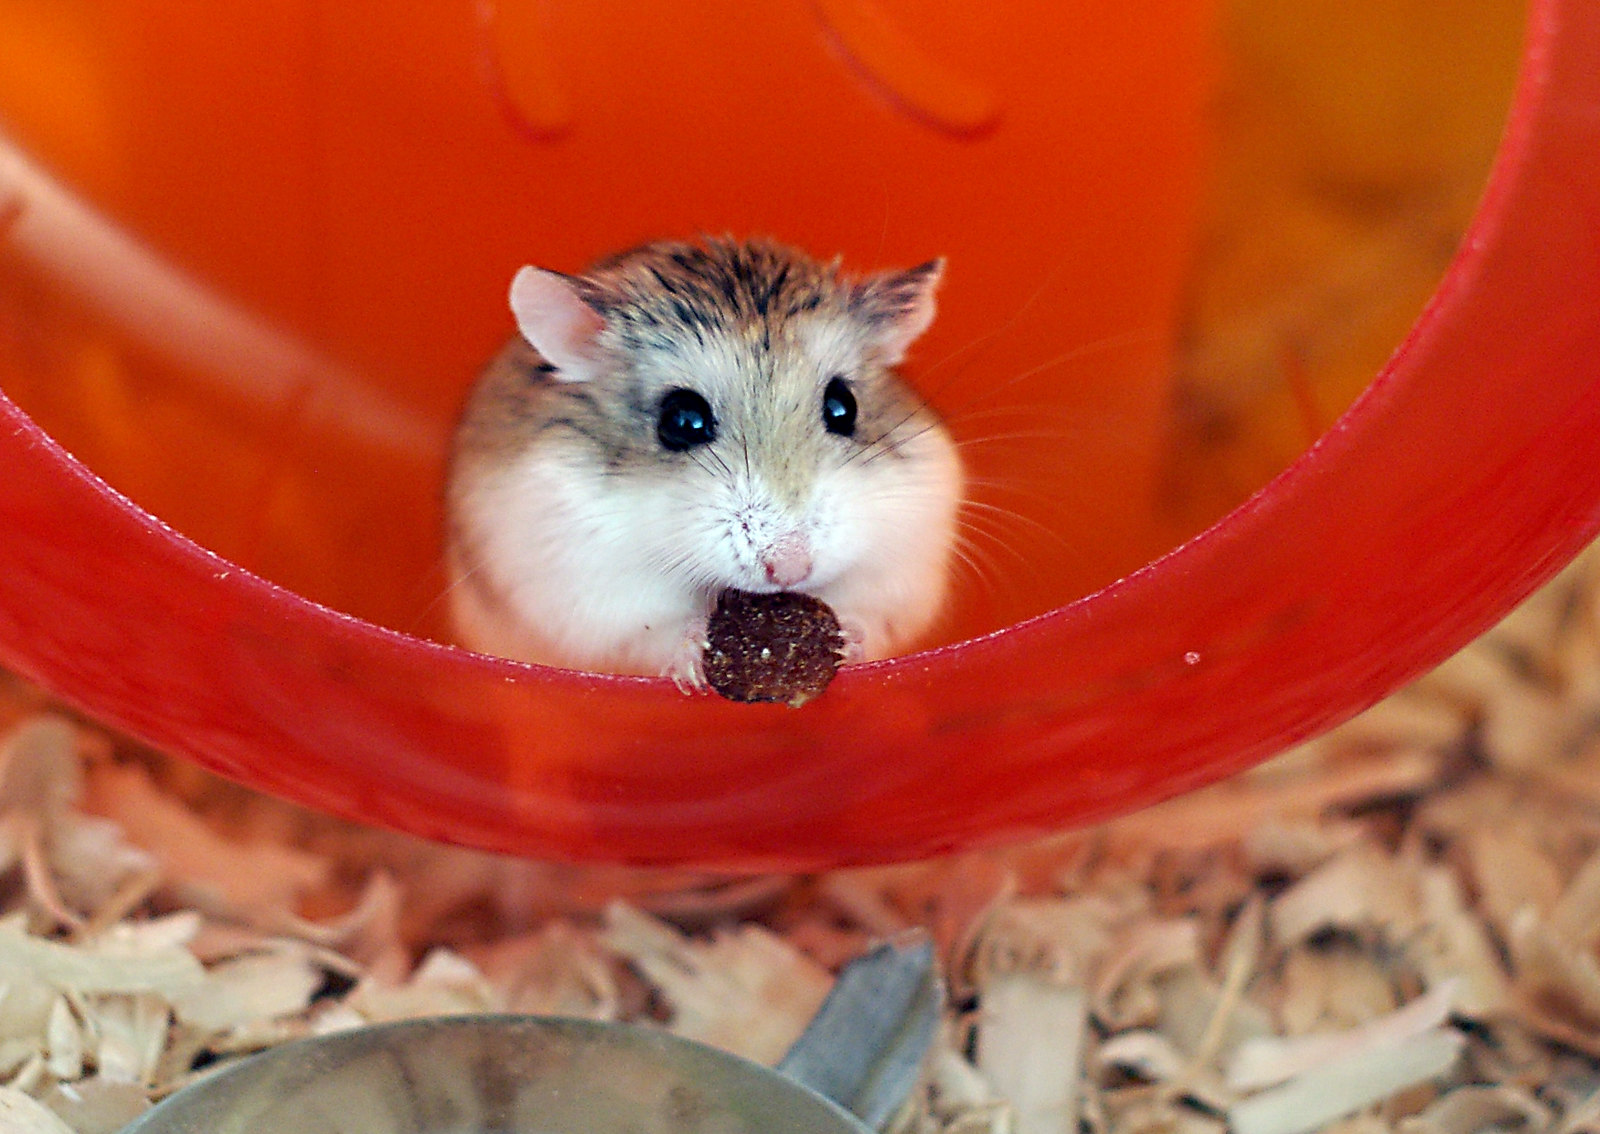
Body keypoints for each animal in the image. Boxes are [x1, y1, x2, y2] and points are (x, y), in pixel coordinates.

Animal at [445, 236, 963, 689]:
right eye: (682, 420)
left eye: (843, 407)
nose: (790, 569)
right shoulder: (584, 595)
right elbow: (646, 636)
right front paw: (696, 651)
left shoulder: (907, 565)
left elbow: (880, 618)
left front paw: (845, 639)